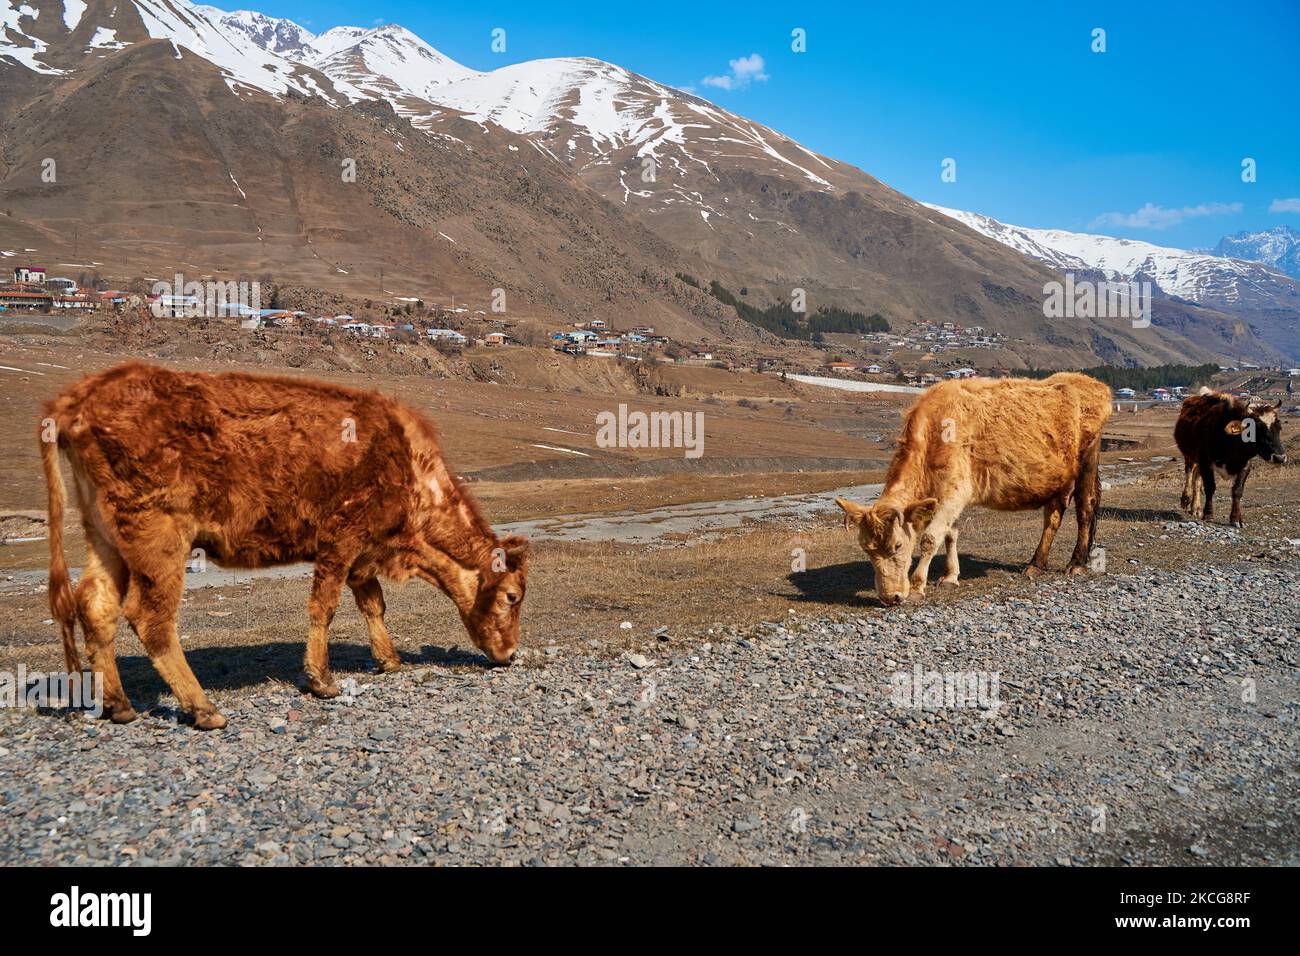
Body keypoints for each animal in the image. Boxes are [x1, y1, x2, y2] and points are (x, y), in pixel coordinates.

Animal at [40, 362, 529, 729]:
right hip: (158, 533)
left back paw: (118, 705)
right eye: (511, 596)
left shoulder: (364, 554)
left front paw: (389, 660)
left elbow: (373, 604)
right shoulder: (341, 536)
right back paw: (203, 709)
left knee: (96, 604)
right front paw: (322, 680)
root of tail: (86, 391)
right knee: (149, 617)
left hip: (105, 534)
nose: (509, 654)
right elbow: (324, 607)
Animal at [835, 372, 1112, 605]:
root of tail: (1093, 385)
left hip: (1088, 459)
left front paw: (916, 587)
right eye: (866, 549)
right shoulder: (947, 495)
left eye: (898, 546)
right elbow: (950, 534)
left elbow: (930, 538)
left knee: (1085, 508)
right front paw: (950, 577)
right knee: (1053, 517)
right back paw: (1036, 564)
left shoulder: (955, 492)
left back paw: (1076, 563)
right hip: (1055, 478)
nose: (889, 597)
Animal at [1175, 387, 1287, 526]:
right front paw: (1208, 514)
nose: (1279, 457)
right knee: (1190, 473)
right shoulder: (1206, 462)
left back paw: (1195, 508)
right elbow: (1210, 487)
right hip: (1189, 455)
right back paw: (1186, 499)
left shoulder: (1245, 465)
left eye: (1279, 427)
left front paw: (1235, 518)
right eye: (1256, 428)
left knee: (1197, 478)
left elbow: (1237, 491)